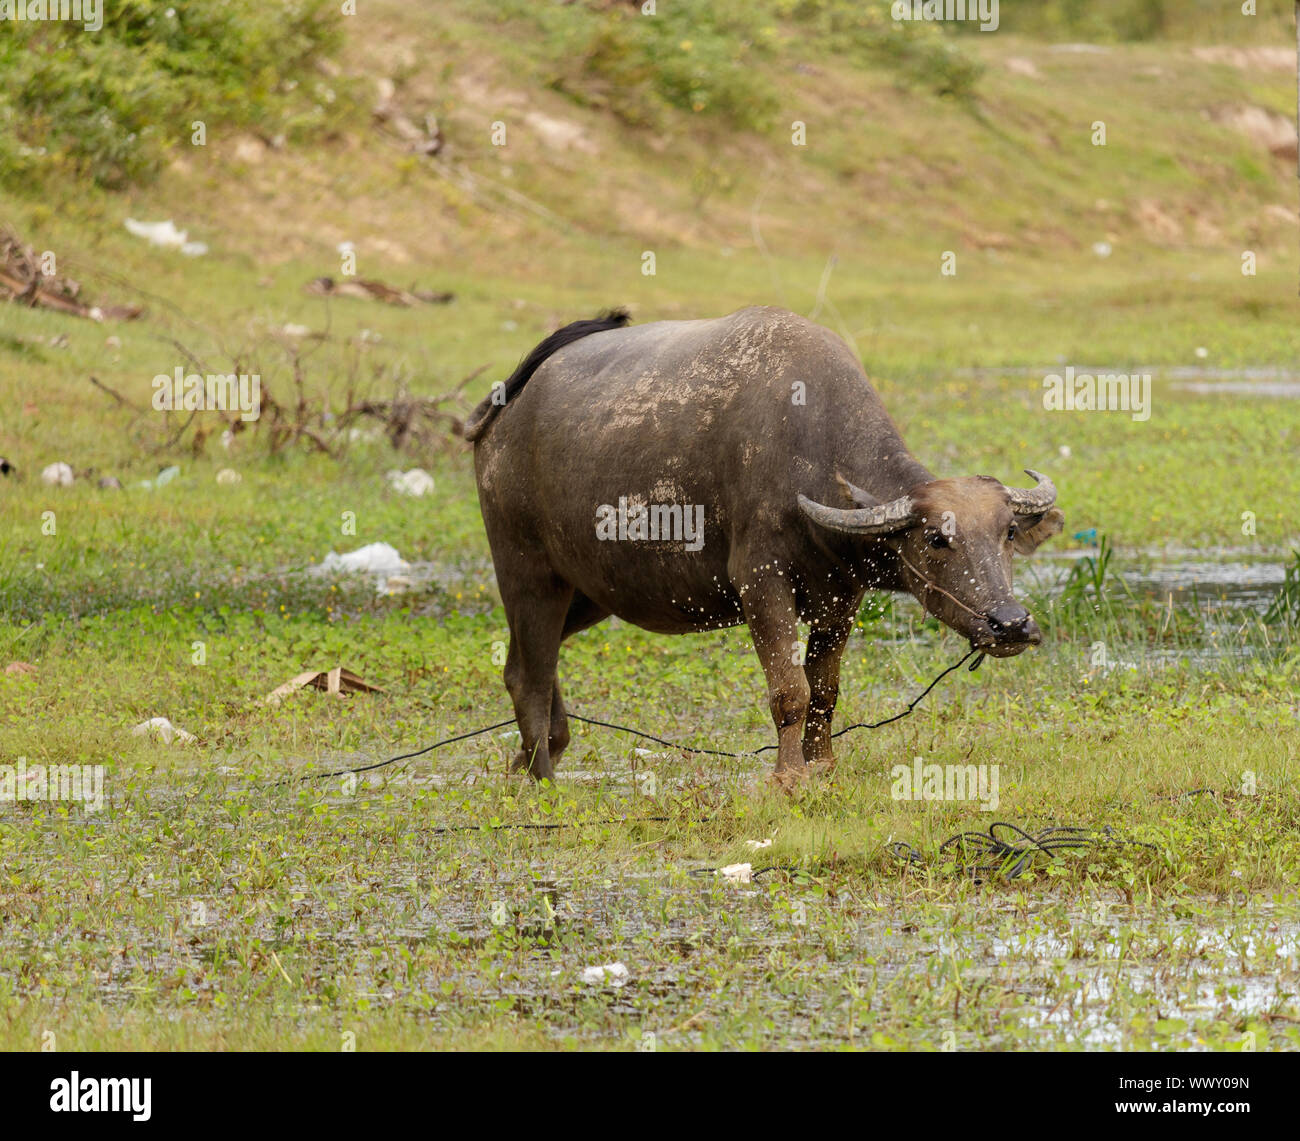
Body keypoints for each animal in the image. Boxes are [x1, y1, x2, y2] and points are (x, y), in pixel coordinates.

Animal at [466, 306, 1063, 782]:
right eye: (938, 539)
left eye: (1009, 532)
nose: (1011, 624)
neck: (810, 449)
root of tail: (504, 408)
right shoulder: (760, 584)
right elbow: (789, 691)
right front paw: (787, 777)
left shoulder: (841, 599)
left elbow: (825, 690)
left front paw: (823, 766)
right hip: (526, 571)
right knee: (528, 673)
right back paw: (544, 779)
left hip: (589, 593)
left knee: (526, 658)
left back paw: (532, 758)